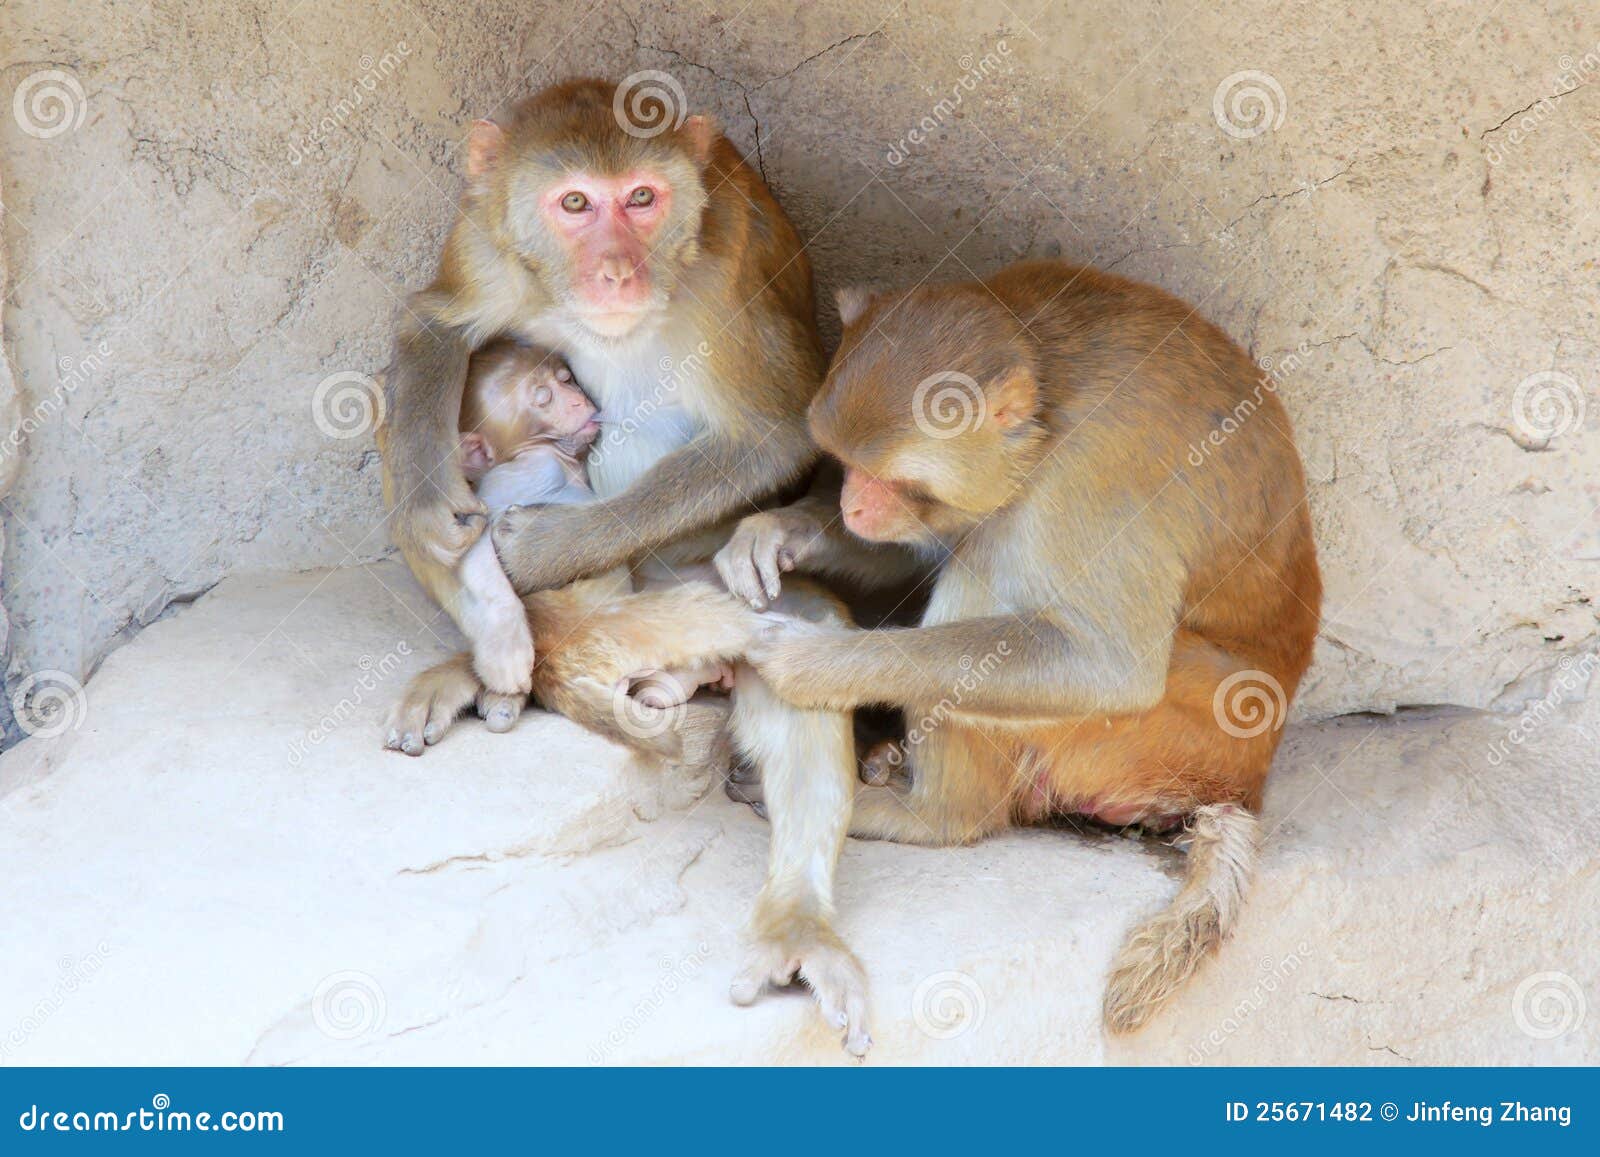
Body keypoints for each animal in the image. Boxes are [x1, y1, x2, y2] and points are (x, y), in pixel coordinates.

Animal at [376, 79, 871, 1052]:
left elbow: (772, 435)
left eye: (642, 198)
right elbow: (435, 324)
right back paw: (493, 644)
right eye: (575, 204)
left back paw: (796, 918)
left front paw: (544, 549)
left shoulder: (731, 268)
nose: (616, 271)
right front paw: (429, 512)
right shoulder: (485, 231)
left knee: (797, 637)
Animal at [726, 260, 1322, 1036]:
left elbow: (1111, 669)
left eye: (900, 481)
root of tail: (1245, 781)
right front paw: (774, 533)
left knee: (989, 562)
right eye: (843, 464)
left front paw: (813, 664)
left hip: (1168, 732)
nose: (852, 506)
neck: (1050, 394)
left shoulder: (1090, 482)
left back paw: (932, 815)